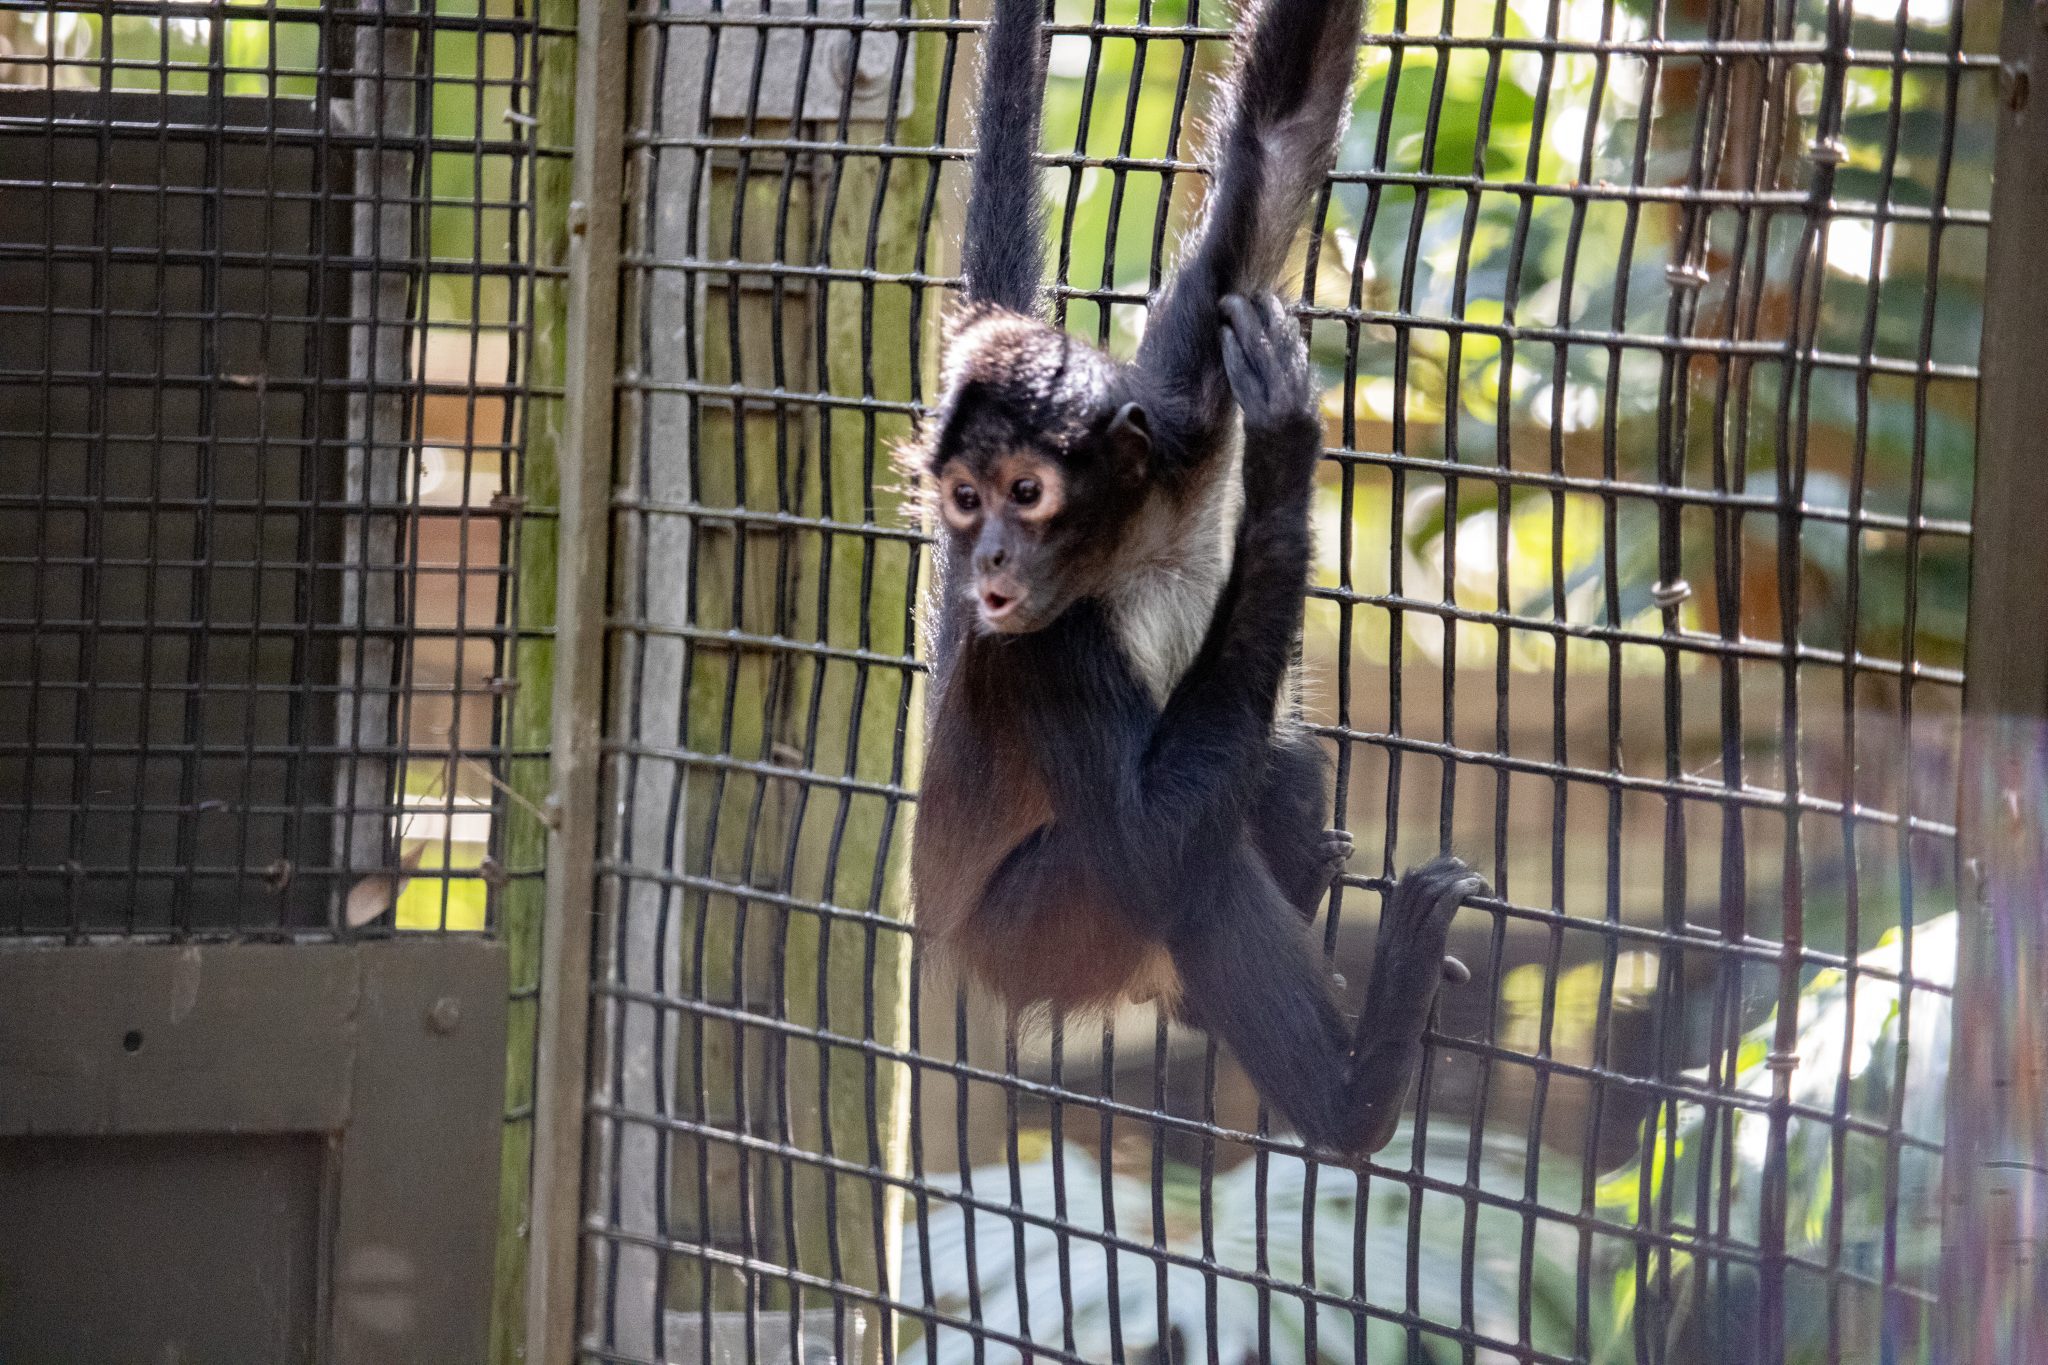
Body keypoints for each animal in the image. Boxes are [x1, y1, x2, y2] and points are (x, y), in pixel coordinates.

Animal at [907, 0, 1489, 1158]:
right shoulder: (1041, 647)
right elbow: (1148, 851)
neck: (1132, 547)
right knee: (1189, 873)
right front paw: (1283, 470)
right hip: (1037, 931)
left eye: (1023, 492)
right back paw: (1356, 1096)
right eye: (963, 498)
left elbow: (1281, 131)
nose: (984, 558)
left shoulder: (1182, 396)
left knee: (1275, 760)